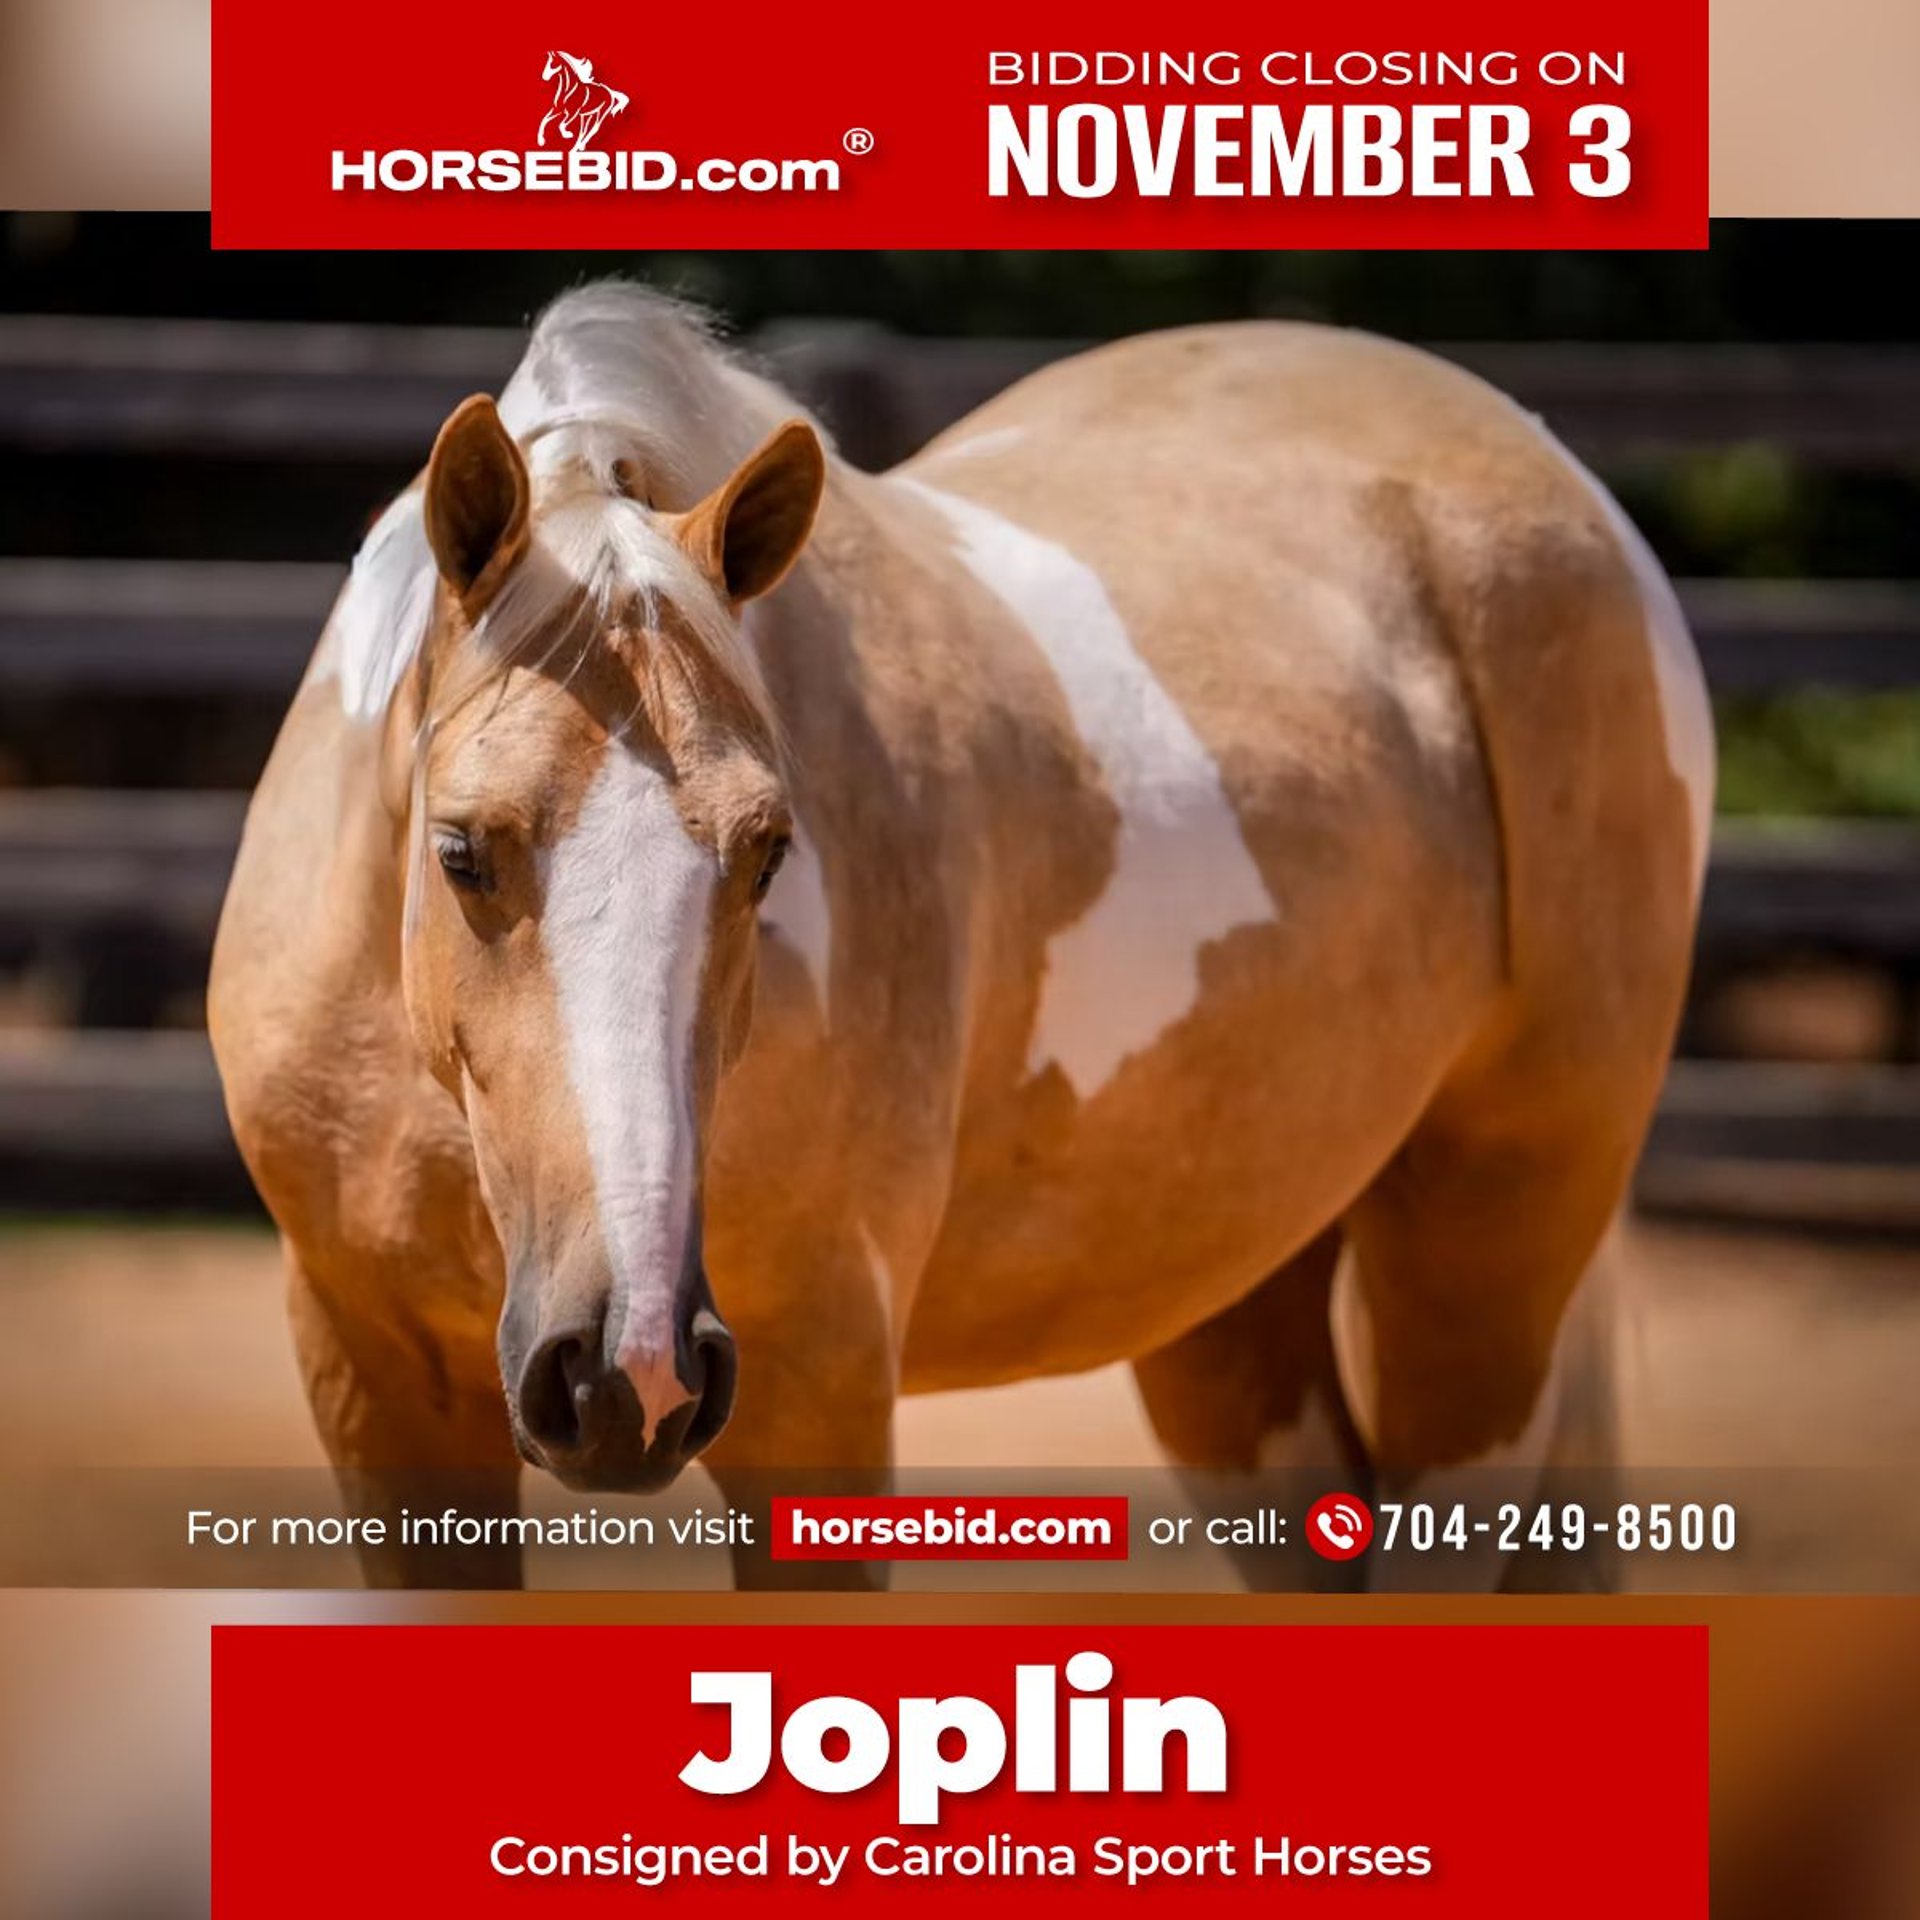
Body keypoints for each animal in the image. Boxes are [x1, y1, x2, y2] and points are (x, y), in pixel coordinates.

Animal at [208, 283, 1713, 1589]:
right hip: (1232, 1313)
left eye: (769, 854)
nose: (621, 1369)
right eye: (461, 850)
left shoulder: (814, 1401)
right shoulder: (378, 1386)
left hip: (1489, 1259)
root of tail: (1537, 462)